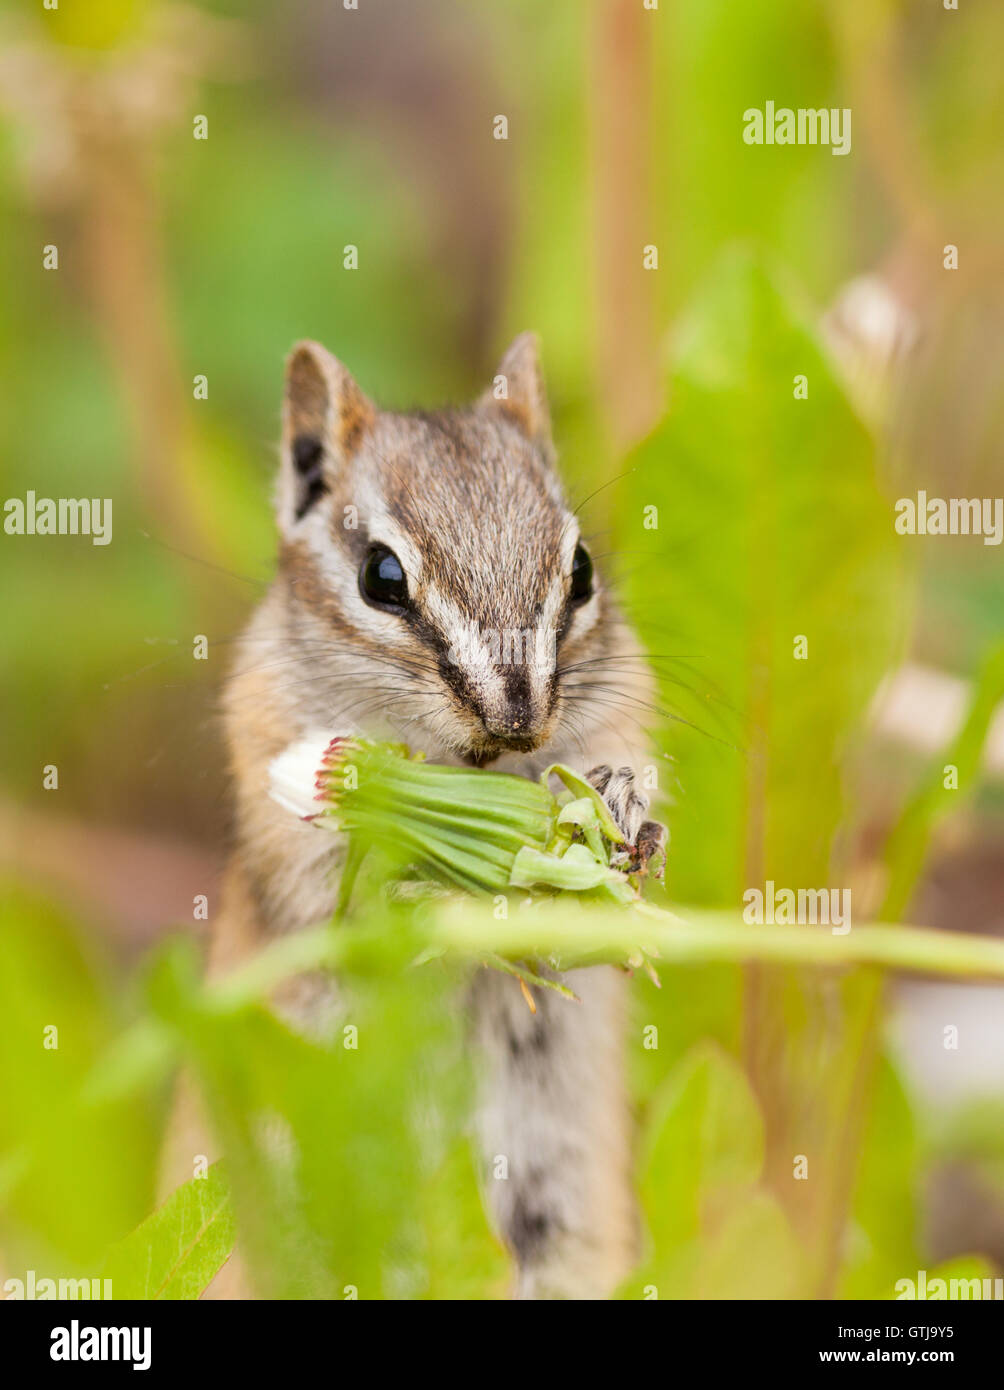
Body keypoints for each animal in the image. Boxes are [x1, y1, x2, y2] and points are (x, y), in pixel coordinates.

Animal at [162, 332, 665, 1299]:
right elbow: (343, 904)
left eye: (583, 572)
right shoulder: (275, 784)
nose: (516, 717)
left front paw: (623, 806)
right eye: (381, 577)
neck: (468, 771)